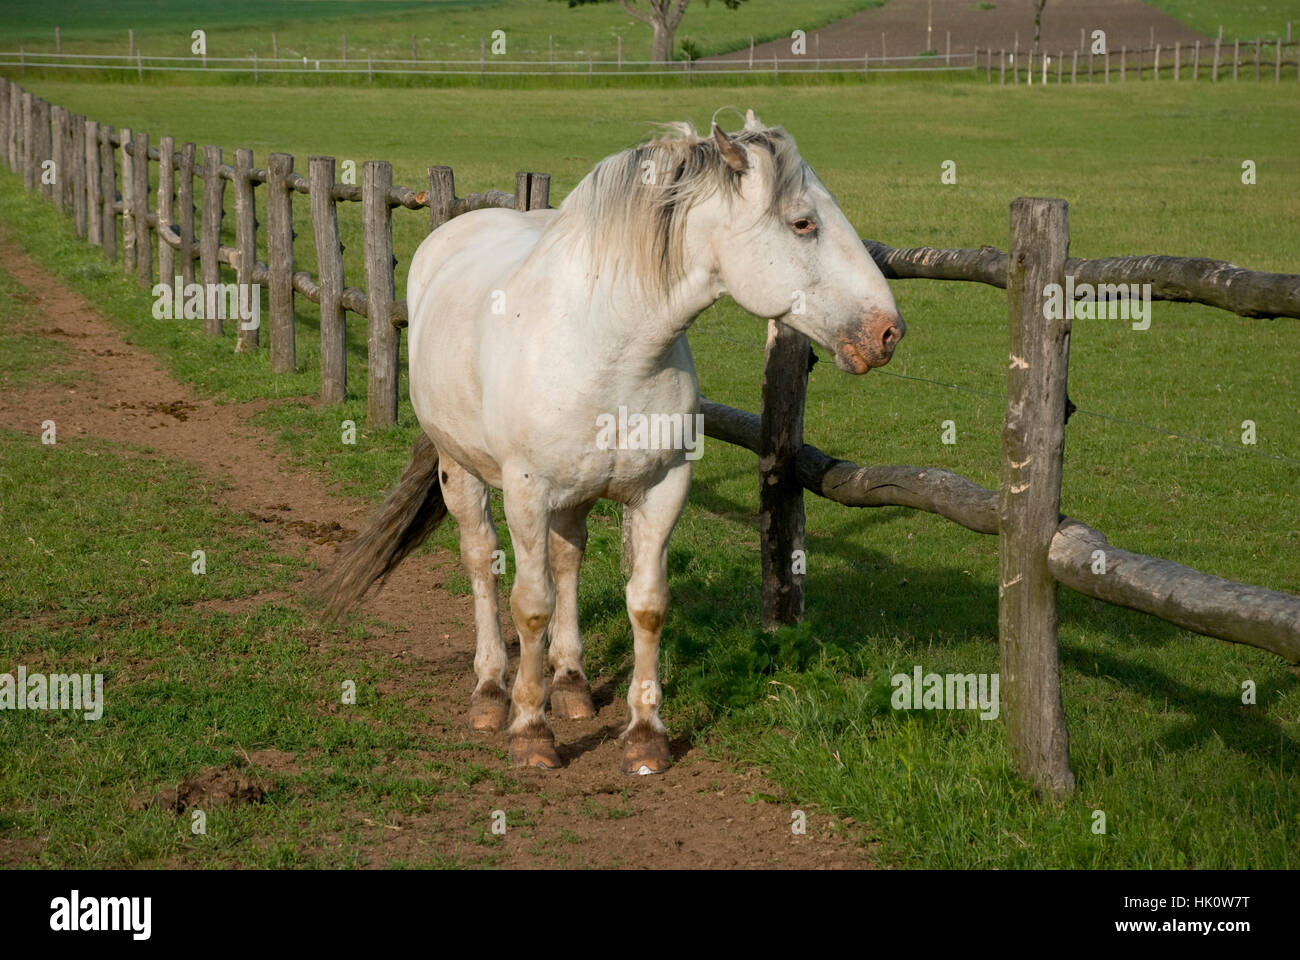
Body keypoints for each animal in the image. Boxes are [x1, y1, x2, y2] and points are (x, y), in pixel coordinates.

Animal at [317, 110, 903, 774]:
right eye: (803, 222)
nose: (888, 331)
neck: (608, 343)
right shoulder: (526, 491)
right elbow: (531, 604)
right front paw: (530, 732)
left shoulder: (662, 489)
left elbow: (645, 604)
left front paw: (646, 735)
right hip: (460, 471)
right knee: (481, 561)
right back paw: (491, 693)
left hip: (574, 495)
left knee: (567, 558)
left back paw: (571, 684)